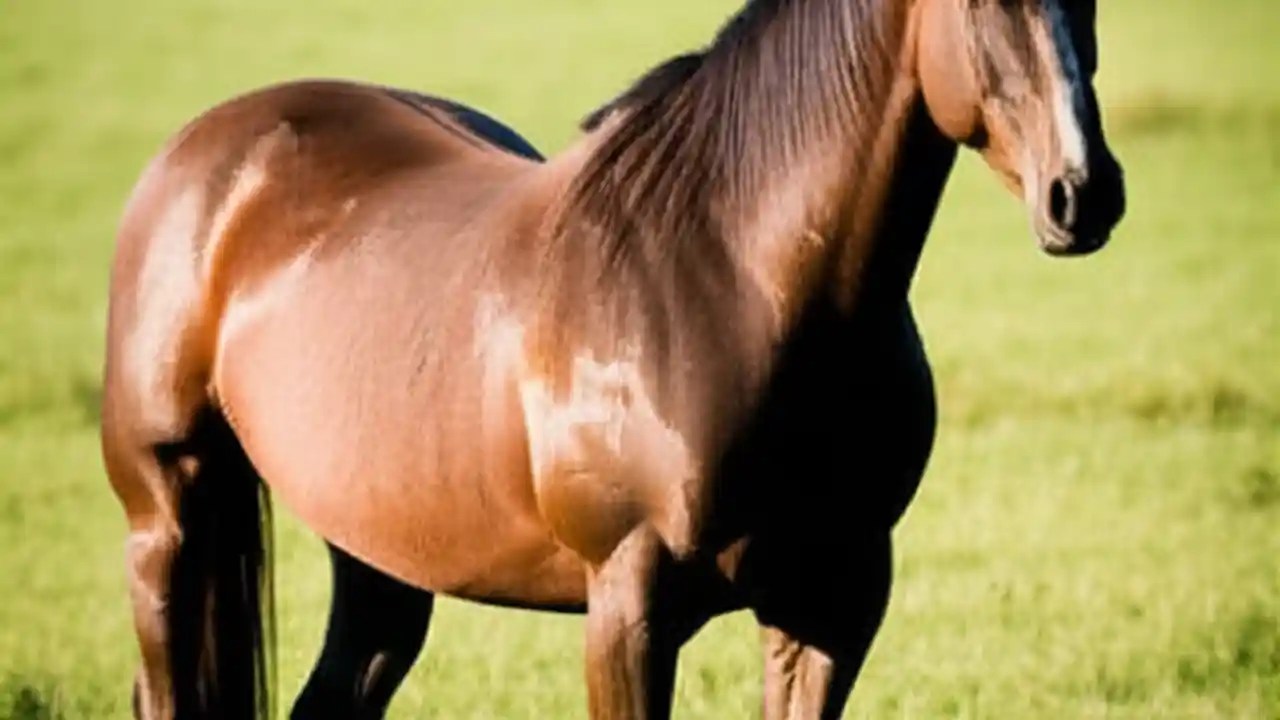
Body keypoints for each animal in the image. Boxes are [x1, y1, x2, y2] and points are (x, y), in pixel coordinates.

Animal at [100, 0, 1126, 717]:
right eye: (980, 1)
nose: (1083, 194)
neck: (737, 281)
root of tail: (205, 152)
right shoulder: (631, 603)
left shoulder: (835, 597)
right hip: (167, 519)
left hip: (379, 558)